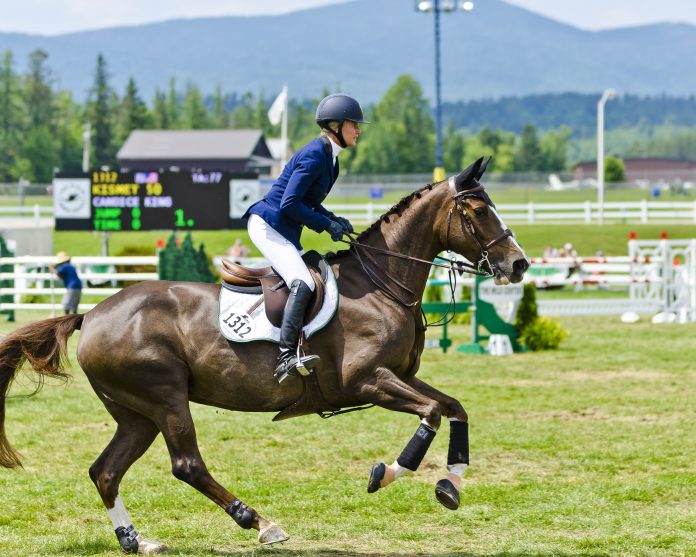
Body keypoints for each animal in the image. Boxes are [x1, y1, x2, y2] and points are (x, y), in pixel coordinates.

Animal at [0, 157, 529, 554]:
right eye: (478, 210)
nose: (519, 264)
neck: (381, 284)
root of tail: (92, 314)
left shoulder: (397, 376)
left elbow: (454, 408)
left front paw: (451, 485)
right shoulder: (367, 380)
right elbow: (433, 413)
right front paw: (388, 473)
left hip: (136, 413)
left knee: (106, 471)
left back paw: (137, 540)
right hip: (165, 398)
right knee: (186, 465)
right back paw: (260, 523)